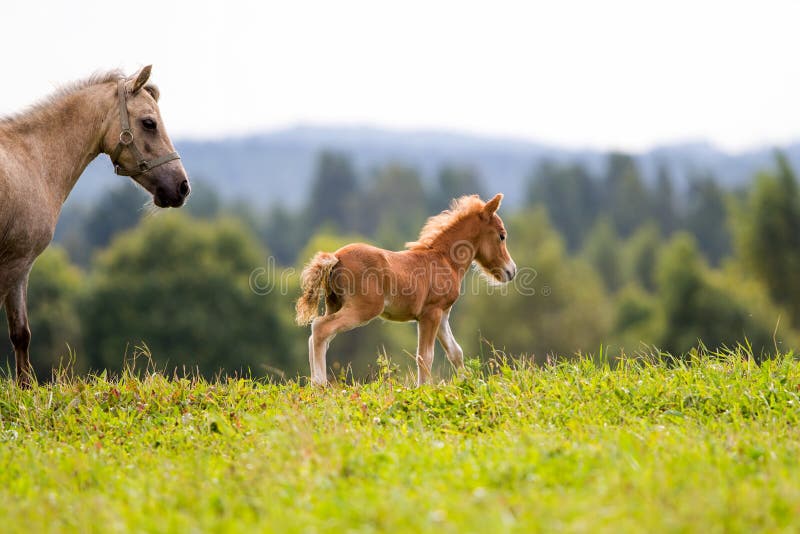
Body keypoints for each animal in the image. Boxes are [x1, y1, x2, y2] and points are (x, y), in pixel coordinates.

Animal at [0, 66, 190, 387]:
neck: (33, 158)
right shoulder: (16, 263)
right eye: (149, 123)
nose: (182, 187)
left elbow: (20, 334)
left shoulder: (20, 269)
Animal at [296, 193, 517, 386]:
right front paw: (423, 390)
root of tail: (335, 258)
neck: (445, 259)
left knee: (317, 335)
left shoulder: (442, 315)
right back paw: (319, 384)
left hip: (334, 304)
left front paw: (467, 384)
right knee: (320, 328)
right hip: (364, 309)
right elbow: (425, 356)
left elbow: (455, 352)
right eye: (502, 236)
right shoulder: (431, 313)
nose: (511, 271)